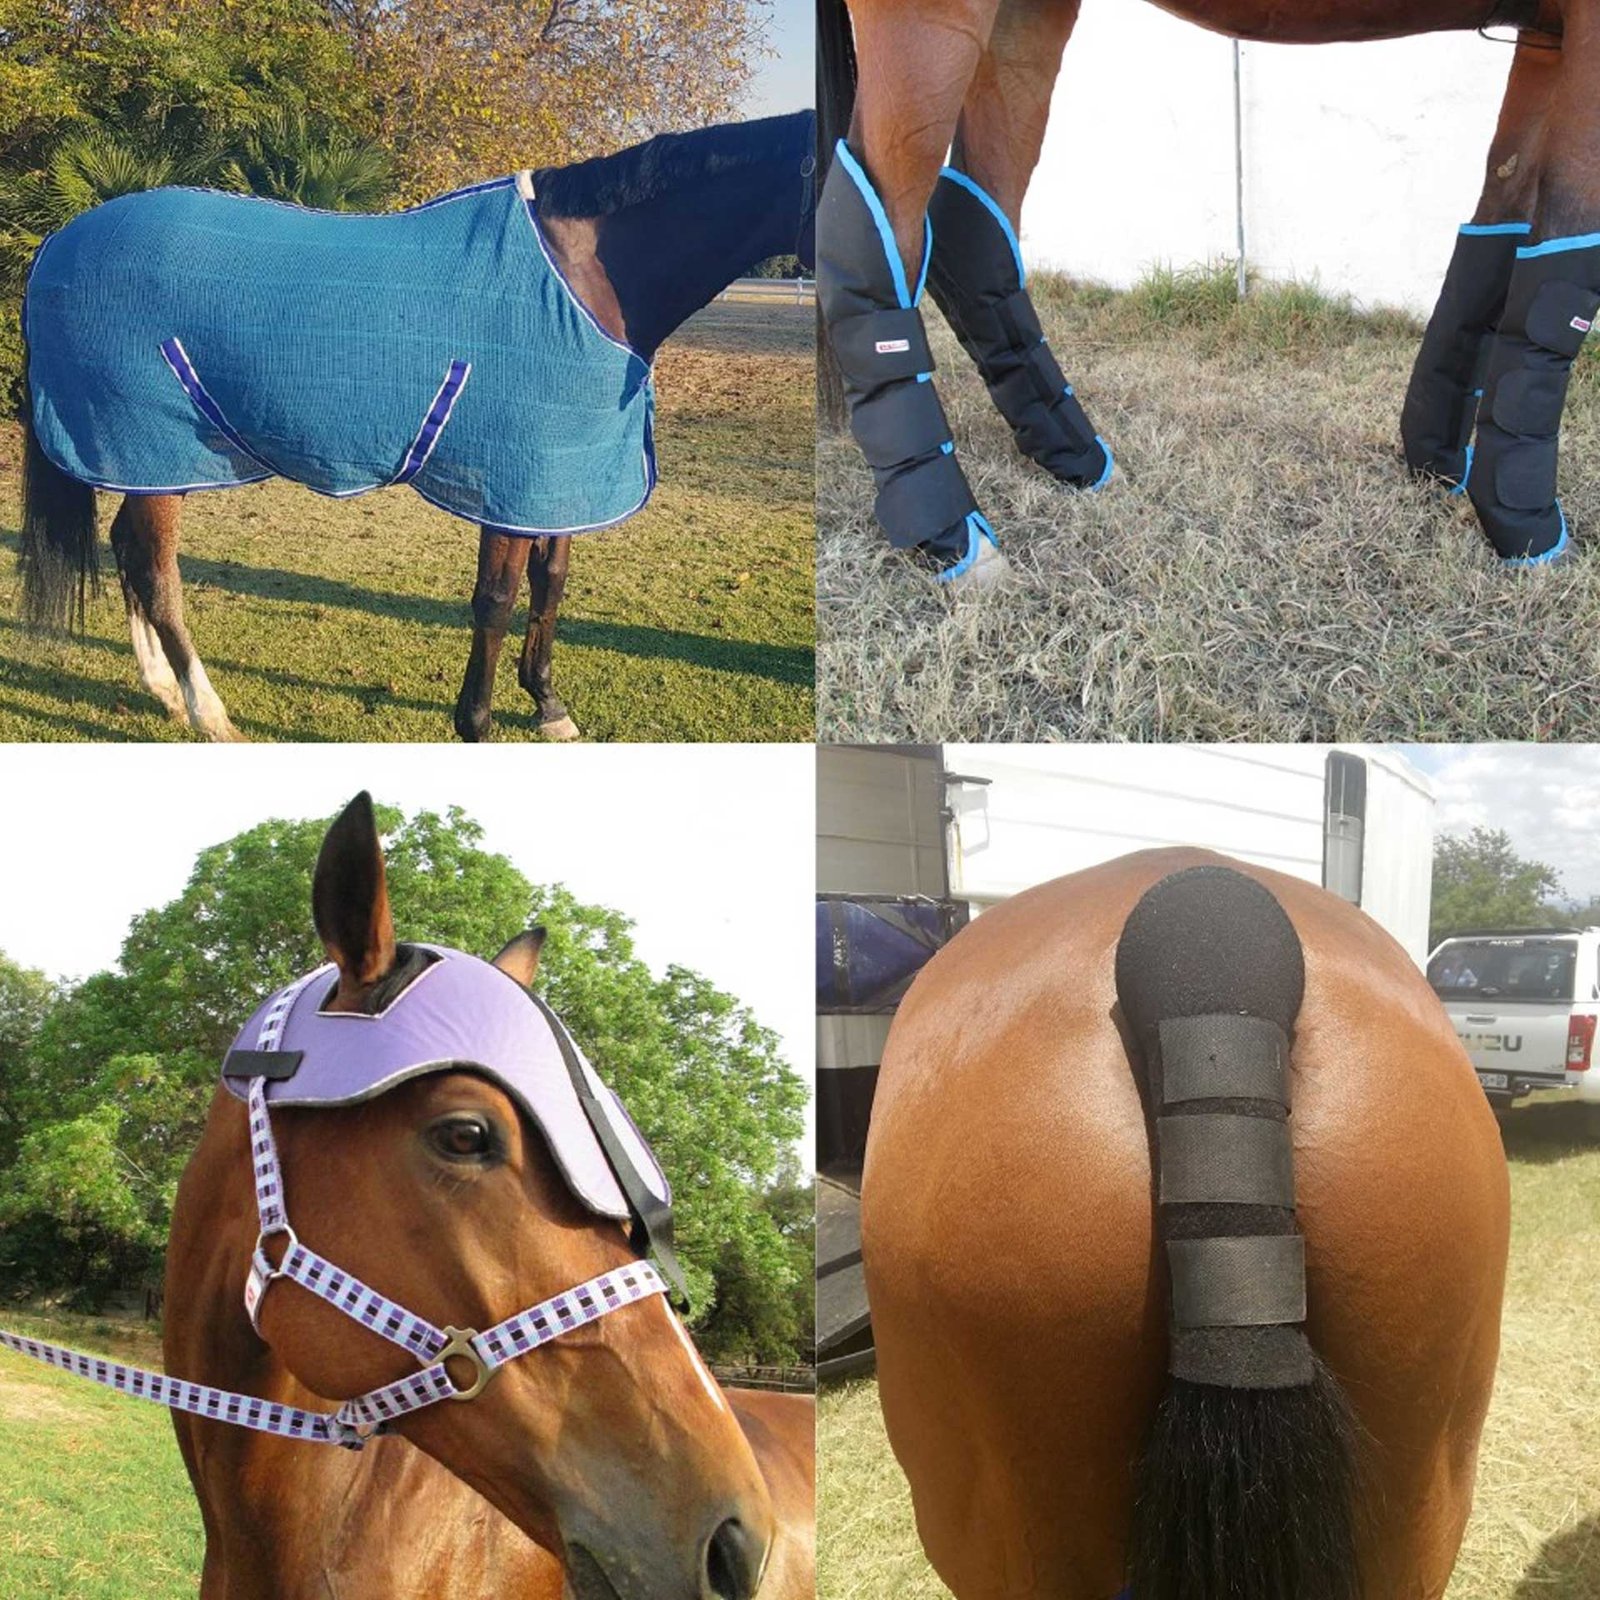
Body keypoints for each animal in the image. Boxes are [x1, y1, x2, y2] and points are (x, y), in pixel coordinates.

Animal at [17, 109, 817, 741]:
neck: (583, 275)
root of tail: (60, 242)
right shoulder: (506, 480)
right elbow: (496, 600)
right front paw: (477, 723)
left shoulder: (557, 475)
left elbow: (551, 584)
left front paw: (548, 705)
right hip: (148, 446)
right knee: (156, 573)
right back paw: (210, 714)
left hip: (149, 459)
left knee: (125, 549)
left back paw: (159, 689)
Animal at [817, 0, 1586, 580]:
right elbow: (1567, 268)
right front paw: (1527, 525)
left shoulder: (1546, 36)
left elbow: (1501, 233)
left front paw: (1443, 467)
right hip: (930, 25)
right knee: (876, 227)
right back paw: (949, 530)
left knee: (977, 222)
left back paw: (1072, 455)